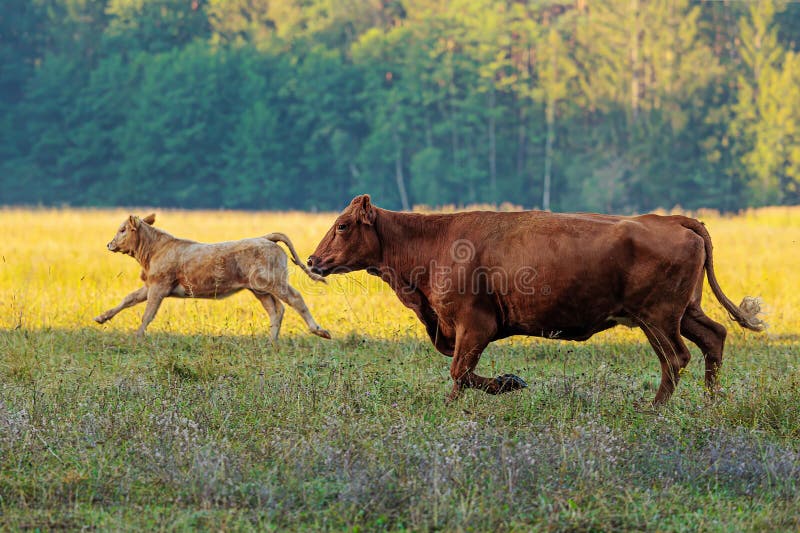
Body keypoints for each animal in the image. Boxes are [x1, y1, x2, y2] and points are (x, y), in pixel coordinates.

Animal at [95, 214, 331, 340]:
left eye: (123, 229)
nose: (109, 244)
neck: (155, 250)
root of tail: (265, 237)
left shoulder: (159, 287)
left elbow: (148, 314)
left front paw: (138, 336)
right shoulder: (150, 285)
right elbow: (128, 299)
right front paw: (102, 317)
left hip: (274, 282)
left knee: (295, 299)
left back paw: (320, 331)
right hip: (259, 289)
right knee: (276, 310)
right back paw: (271, 342)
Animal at [308, 195, 765, 404]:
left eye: (343, 225)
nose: (312, 260)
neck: (432, 241)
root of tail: (674, 221)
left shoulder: (475, 325)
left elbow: (460, 372)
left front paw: (504, 385)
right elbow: (461, 371)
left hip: (658, 317)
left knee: (676, 357)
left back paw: (654, 410)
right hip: (684, 312)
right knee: (713, 338)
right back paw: (709, 402)